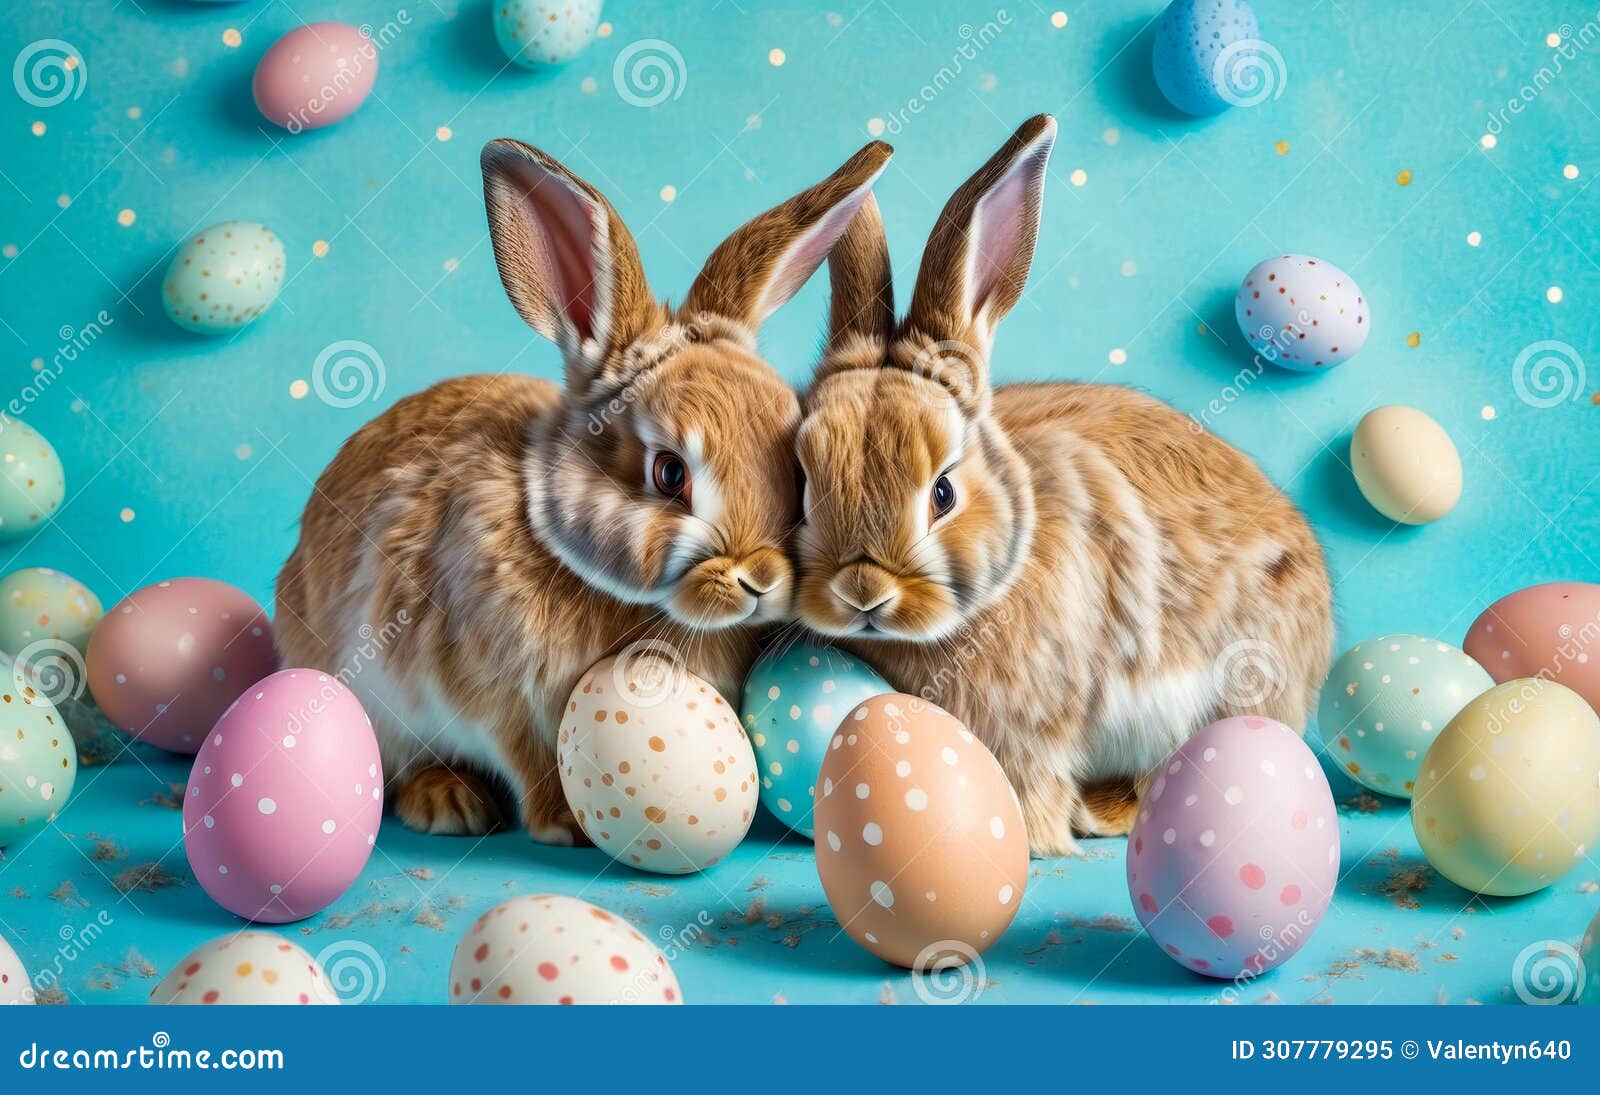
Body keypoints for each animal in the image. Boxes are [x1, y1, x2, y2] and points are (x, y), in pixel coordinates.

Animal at [275, 136, 893, 843]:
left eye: (794, 466)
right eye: (669, 473)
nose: (761, 578)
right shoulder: (495, 696)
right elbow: (528, 756)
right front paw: (566, 824)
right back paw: (448, 802)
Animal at [792, 115, 1333, 857]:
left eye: (943, 493)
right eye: (803, 478)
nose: (862, 591)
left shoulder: (1033, 727)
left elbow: (1028, 787)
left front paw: (1025, 835)